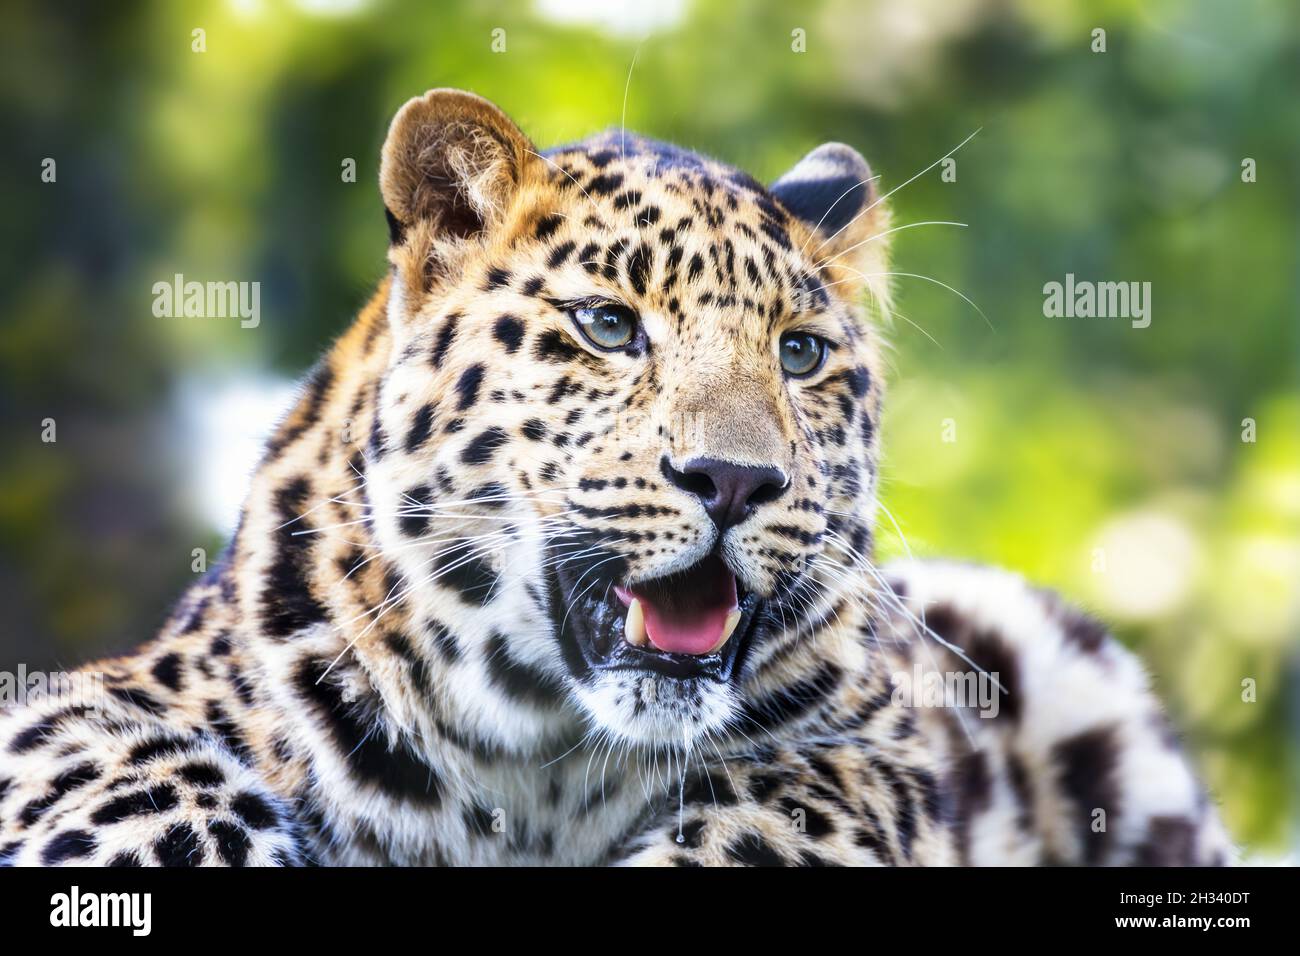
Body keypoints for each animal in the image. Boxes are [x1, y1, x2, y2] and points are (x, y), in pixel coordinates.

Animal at [0, 89, 1232, 866]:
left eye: (798, 353)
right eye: (608, 326)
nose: (732, 480)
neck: (540, 759)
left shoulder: (874, 761)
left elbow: (775, 823)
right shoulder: (87, 703)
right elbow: (138, 765)